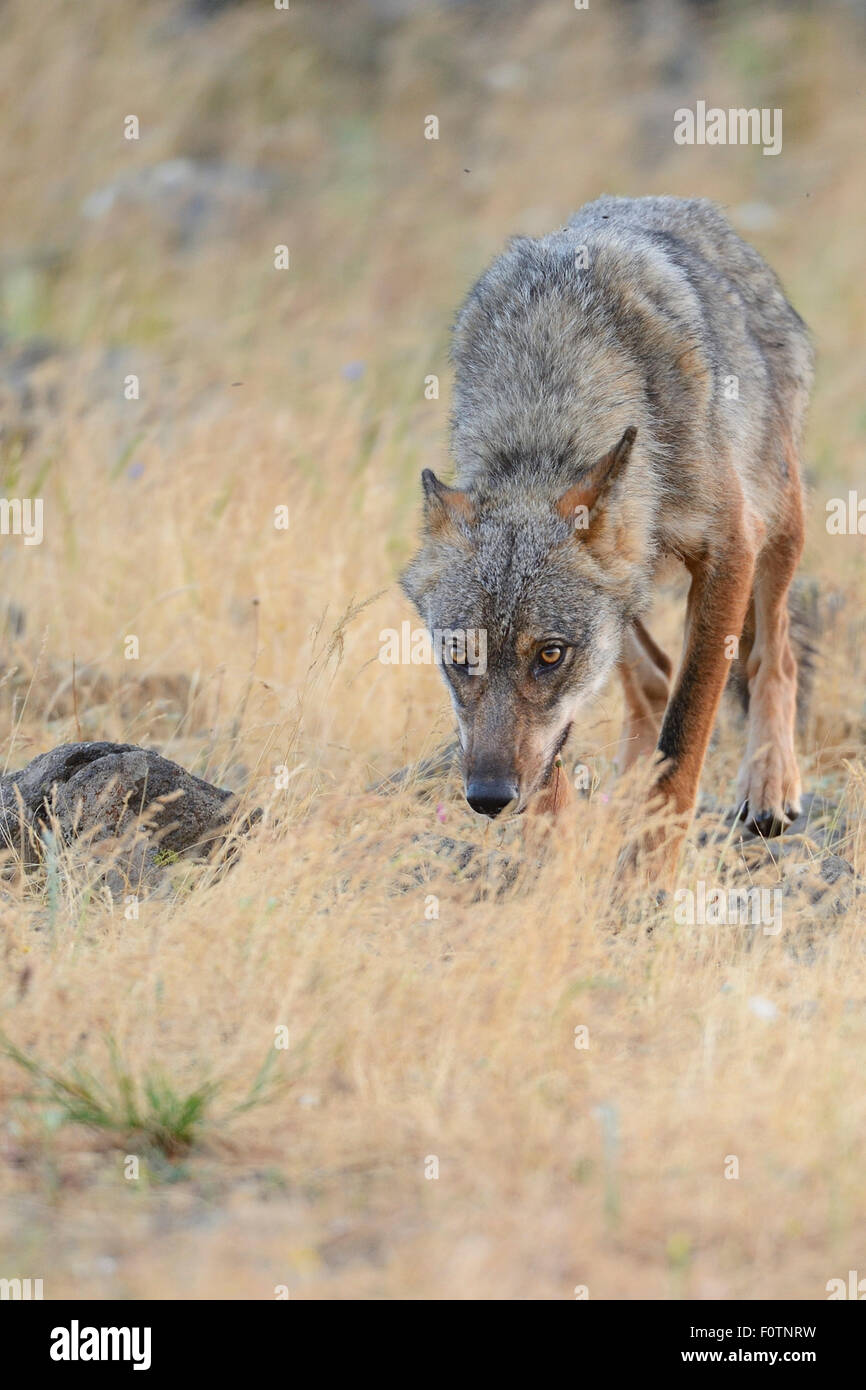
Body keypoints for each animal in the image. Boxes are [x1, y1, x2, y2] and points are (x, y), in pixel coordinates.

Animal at [401, 195, 812, 864]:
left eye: (549, 654)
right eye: (460, 655)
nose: (488, 797)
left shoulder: (730, 551)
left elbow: (686, 734)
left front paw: (649, 872)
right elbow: (569, 758)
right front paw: (550, 856)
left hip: (777, 526)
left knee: (774, 657)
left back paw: (769, 784)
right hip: (633, 590)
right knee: (654, 677)